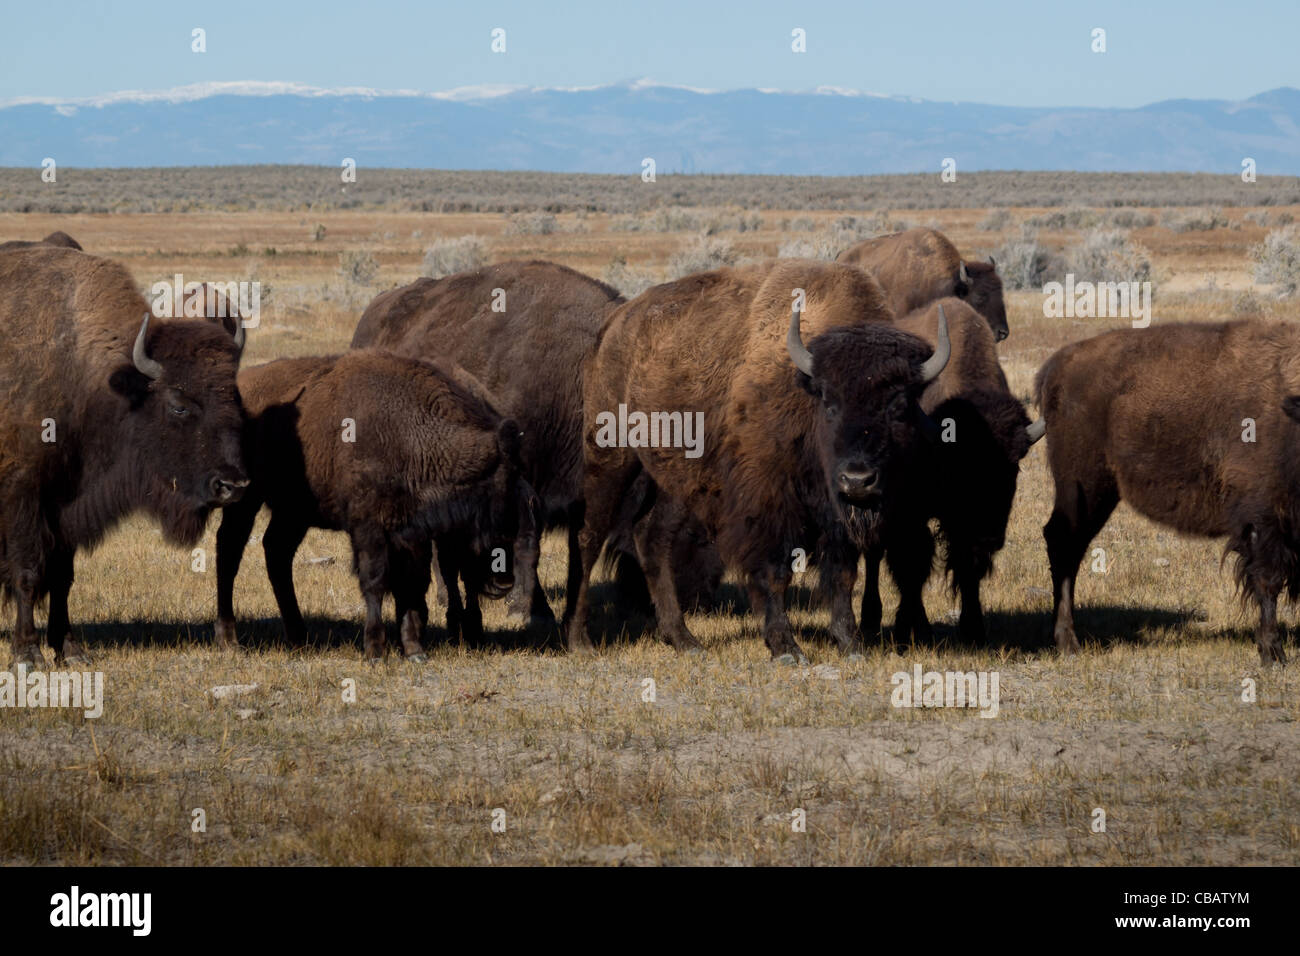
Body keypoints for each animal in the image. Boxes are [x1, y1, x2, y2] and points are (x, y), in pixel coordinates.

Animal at [0, 247, 247, 667]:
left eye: (236, 399)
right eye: (179, 405)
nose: (232, 485)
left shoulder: (69, 507)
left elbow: (62, 577)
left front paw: (70, 649)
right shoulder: (23, 496)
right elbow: (28, 572)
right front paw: (27, 653)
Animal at [213, 350, 527, 662]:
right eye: (496, 493)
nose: (503, 582)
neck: (411, 435)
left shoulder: (412, 536)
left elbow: (412, 585)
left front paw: (414, 649)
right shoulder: (370, 529)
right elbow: (375, 581)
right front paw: (376, 650)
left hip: (293, 512)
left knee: (277, 552)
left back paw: (299, 637)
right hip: (246, 500)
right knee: (230, 551)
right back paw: (229, 638)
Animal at [569, 260, 949, 661]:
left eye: (900, 406)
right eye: (829, 402)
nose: (857, 479)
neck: (802, 384)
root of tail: (616, 326)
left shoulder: (836, 515)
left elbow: (844, 573)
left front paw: (850, 643)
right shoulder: (769, 505)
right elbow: (775, 572)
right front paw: (786, 647)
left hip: (676, 481)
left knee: (651, 538)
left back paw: (684, 640)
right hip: (611, 457)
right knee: (589, 537)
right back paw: (580, 640)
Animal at [1035, 320, 1300, 664]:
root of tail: (1058, 364)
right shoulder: (1264, 519)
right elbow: (1268, 580)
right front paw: (1272, 651)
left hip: (1100, 492)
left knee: (1070, 548)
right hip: (1083, 486)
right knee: (1063, 544)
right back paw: (1068, 642)